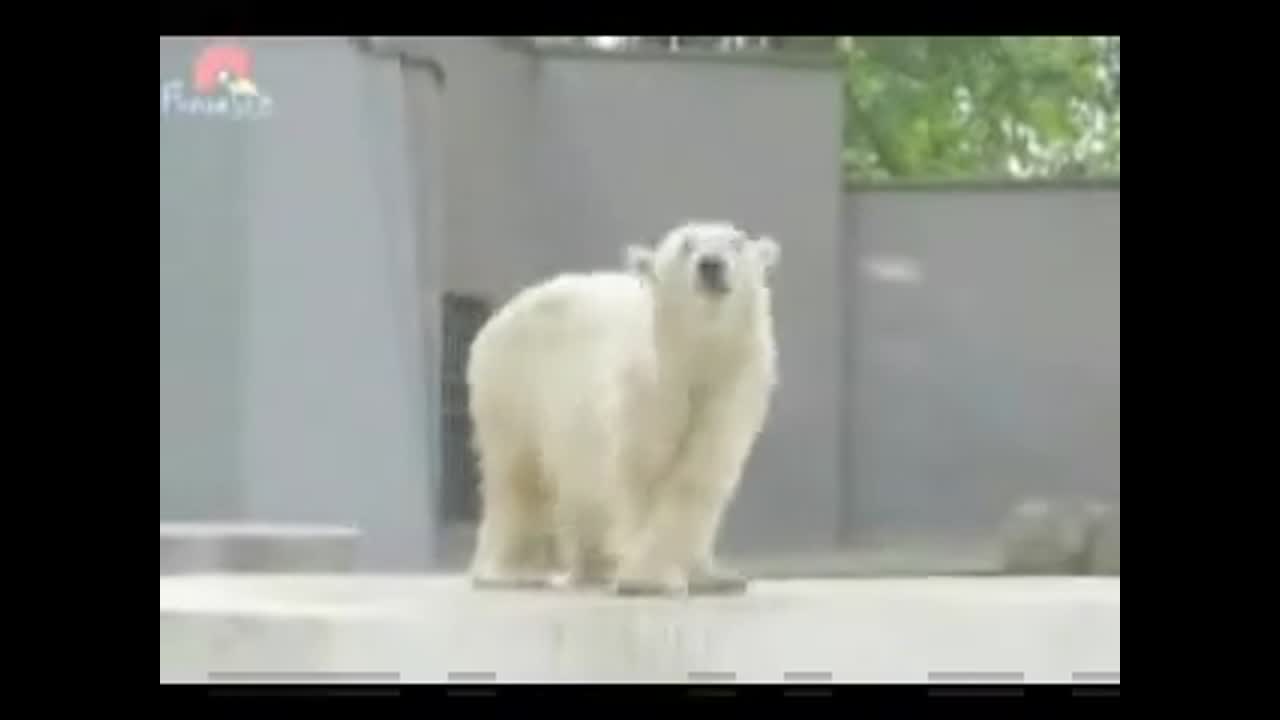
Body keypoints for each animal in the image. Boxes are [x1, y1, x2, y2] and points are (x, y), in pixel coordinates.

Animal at [465, 220, 780, 596]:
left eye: (737, 243)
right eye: (685, 245)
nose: (711, 264)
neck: (696, 357)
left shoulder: (732, 387)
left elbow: (699, 474)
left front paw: (712, 576)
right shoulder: (647, 389)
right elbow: (640, 472)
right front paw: (649, 578)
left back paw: (593, 570)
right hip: (514, 386)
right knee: (518, 477)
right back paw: (515, 571)